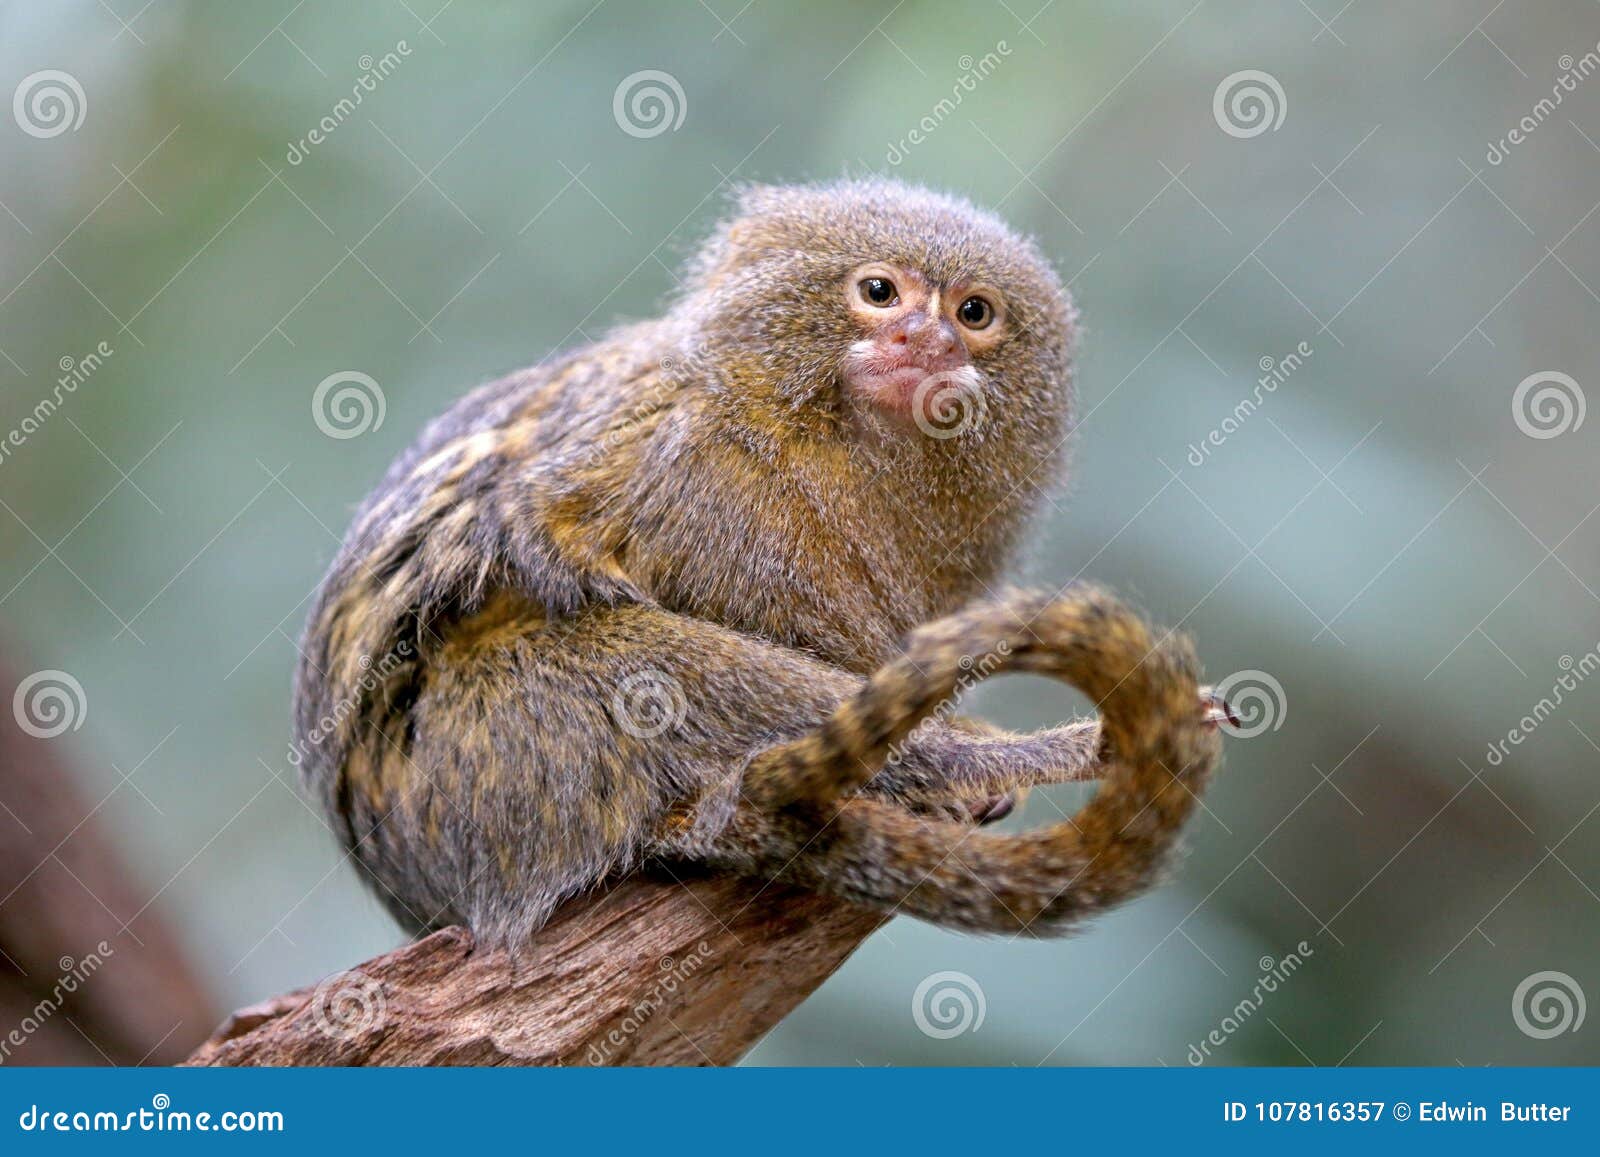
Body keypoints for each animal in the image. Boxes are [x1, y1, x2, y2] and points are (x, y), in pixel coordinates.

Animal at [292, 178, 1226, 947]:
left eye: (974, 313)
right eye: (878, 292)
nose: (924, 339)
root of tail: (422, 889)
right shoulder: (706, 483)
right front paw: (970, 753)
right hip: (491, 759)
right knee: (643, 666)